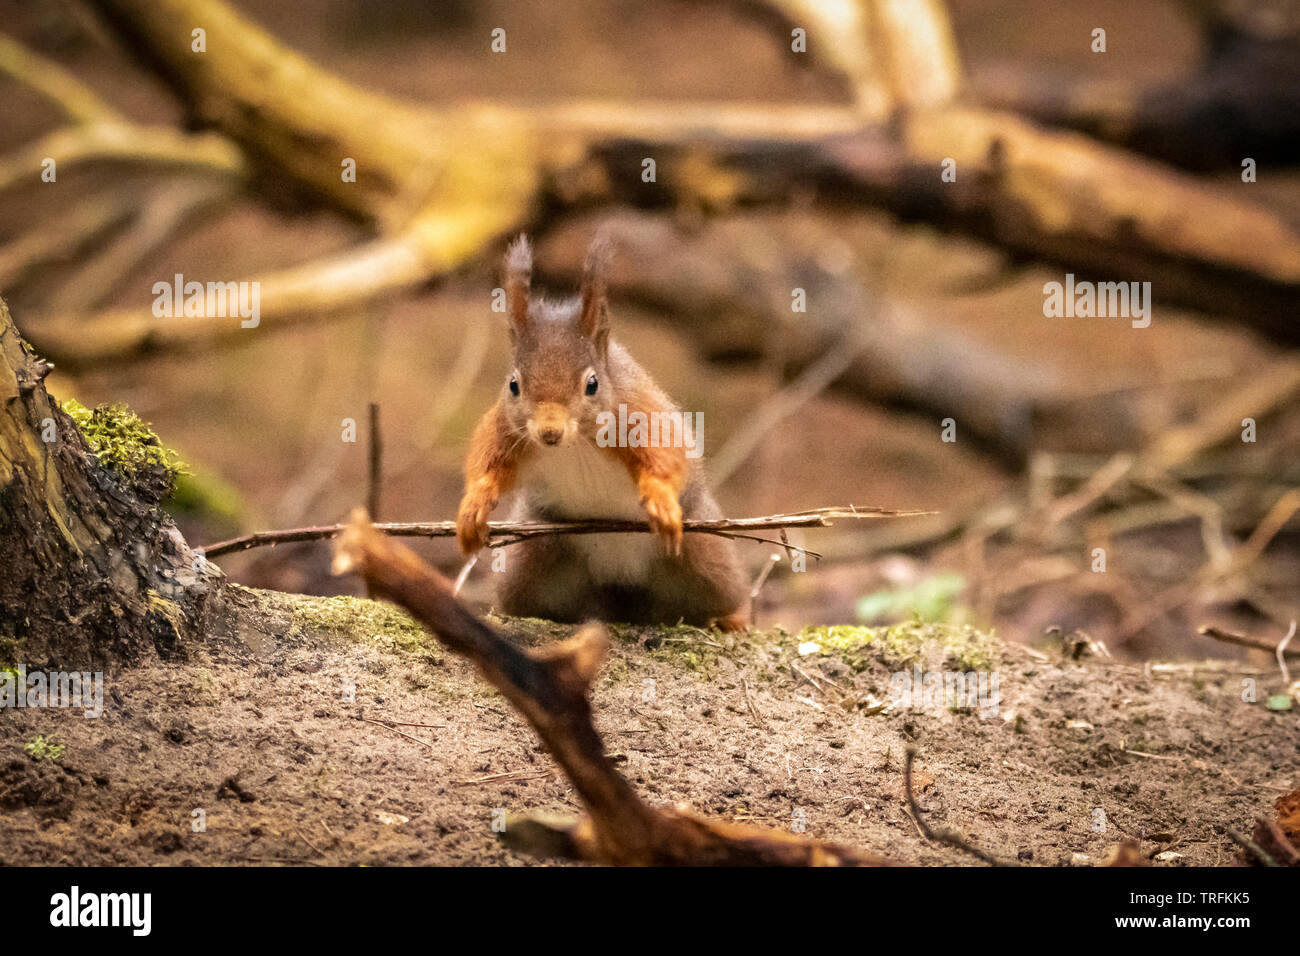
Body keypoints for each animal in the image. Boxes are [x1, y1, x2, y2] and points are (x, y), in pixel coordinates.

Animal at [456, 233, 749, 631]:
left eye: (592, 384)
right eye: (514, 385)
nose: (550, 433)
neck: (575, 443)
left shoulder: (638, 412)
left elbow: (664, 454)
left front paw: (660, 498)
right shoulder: (507, 428)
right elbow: (488, 461)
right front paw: (475, 503)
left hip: (706, 556)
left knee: (726, 593)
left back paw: (734, 618)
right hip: (532, 559)